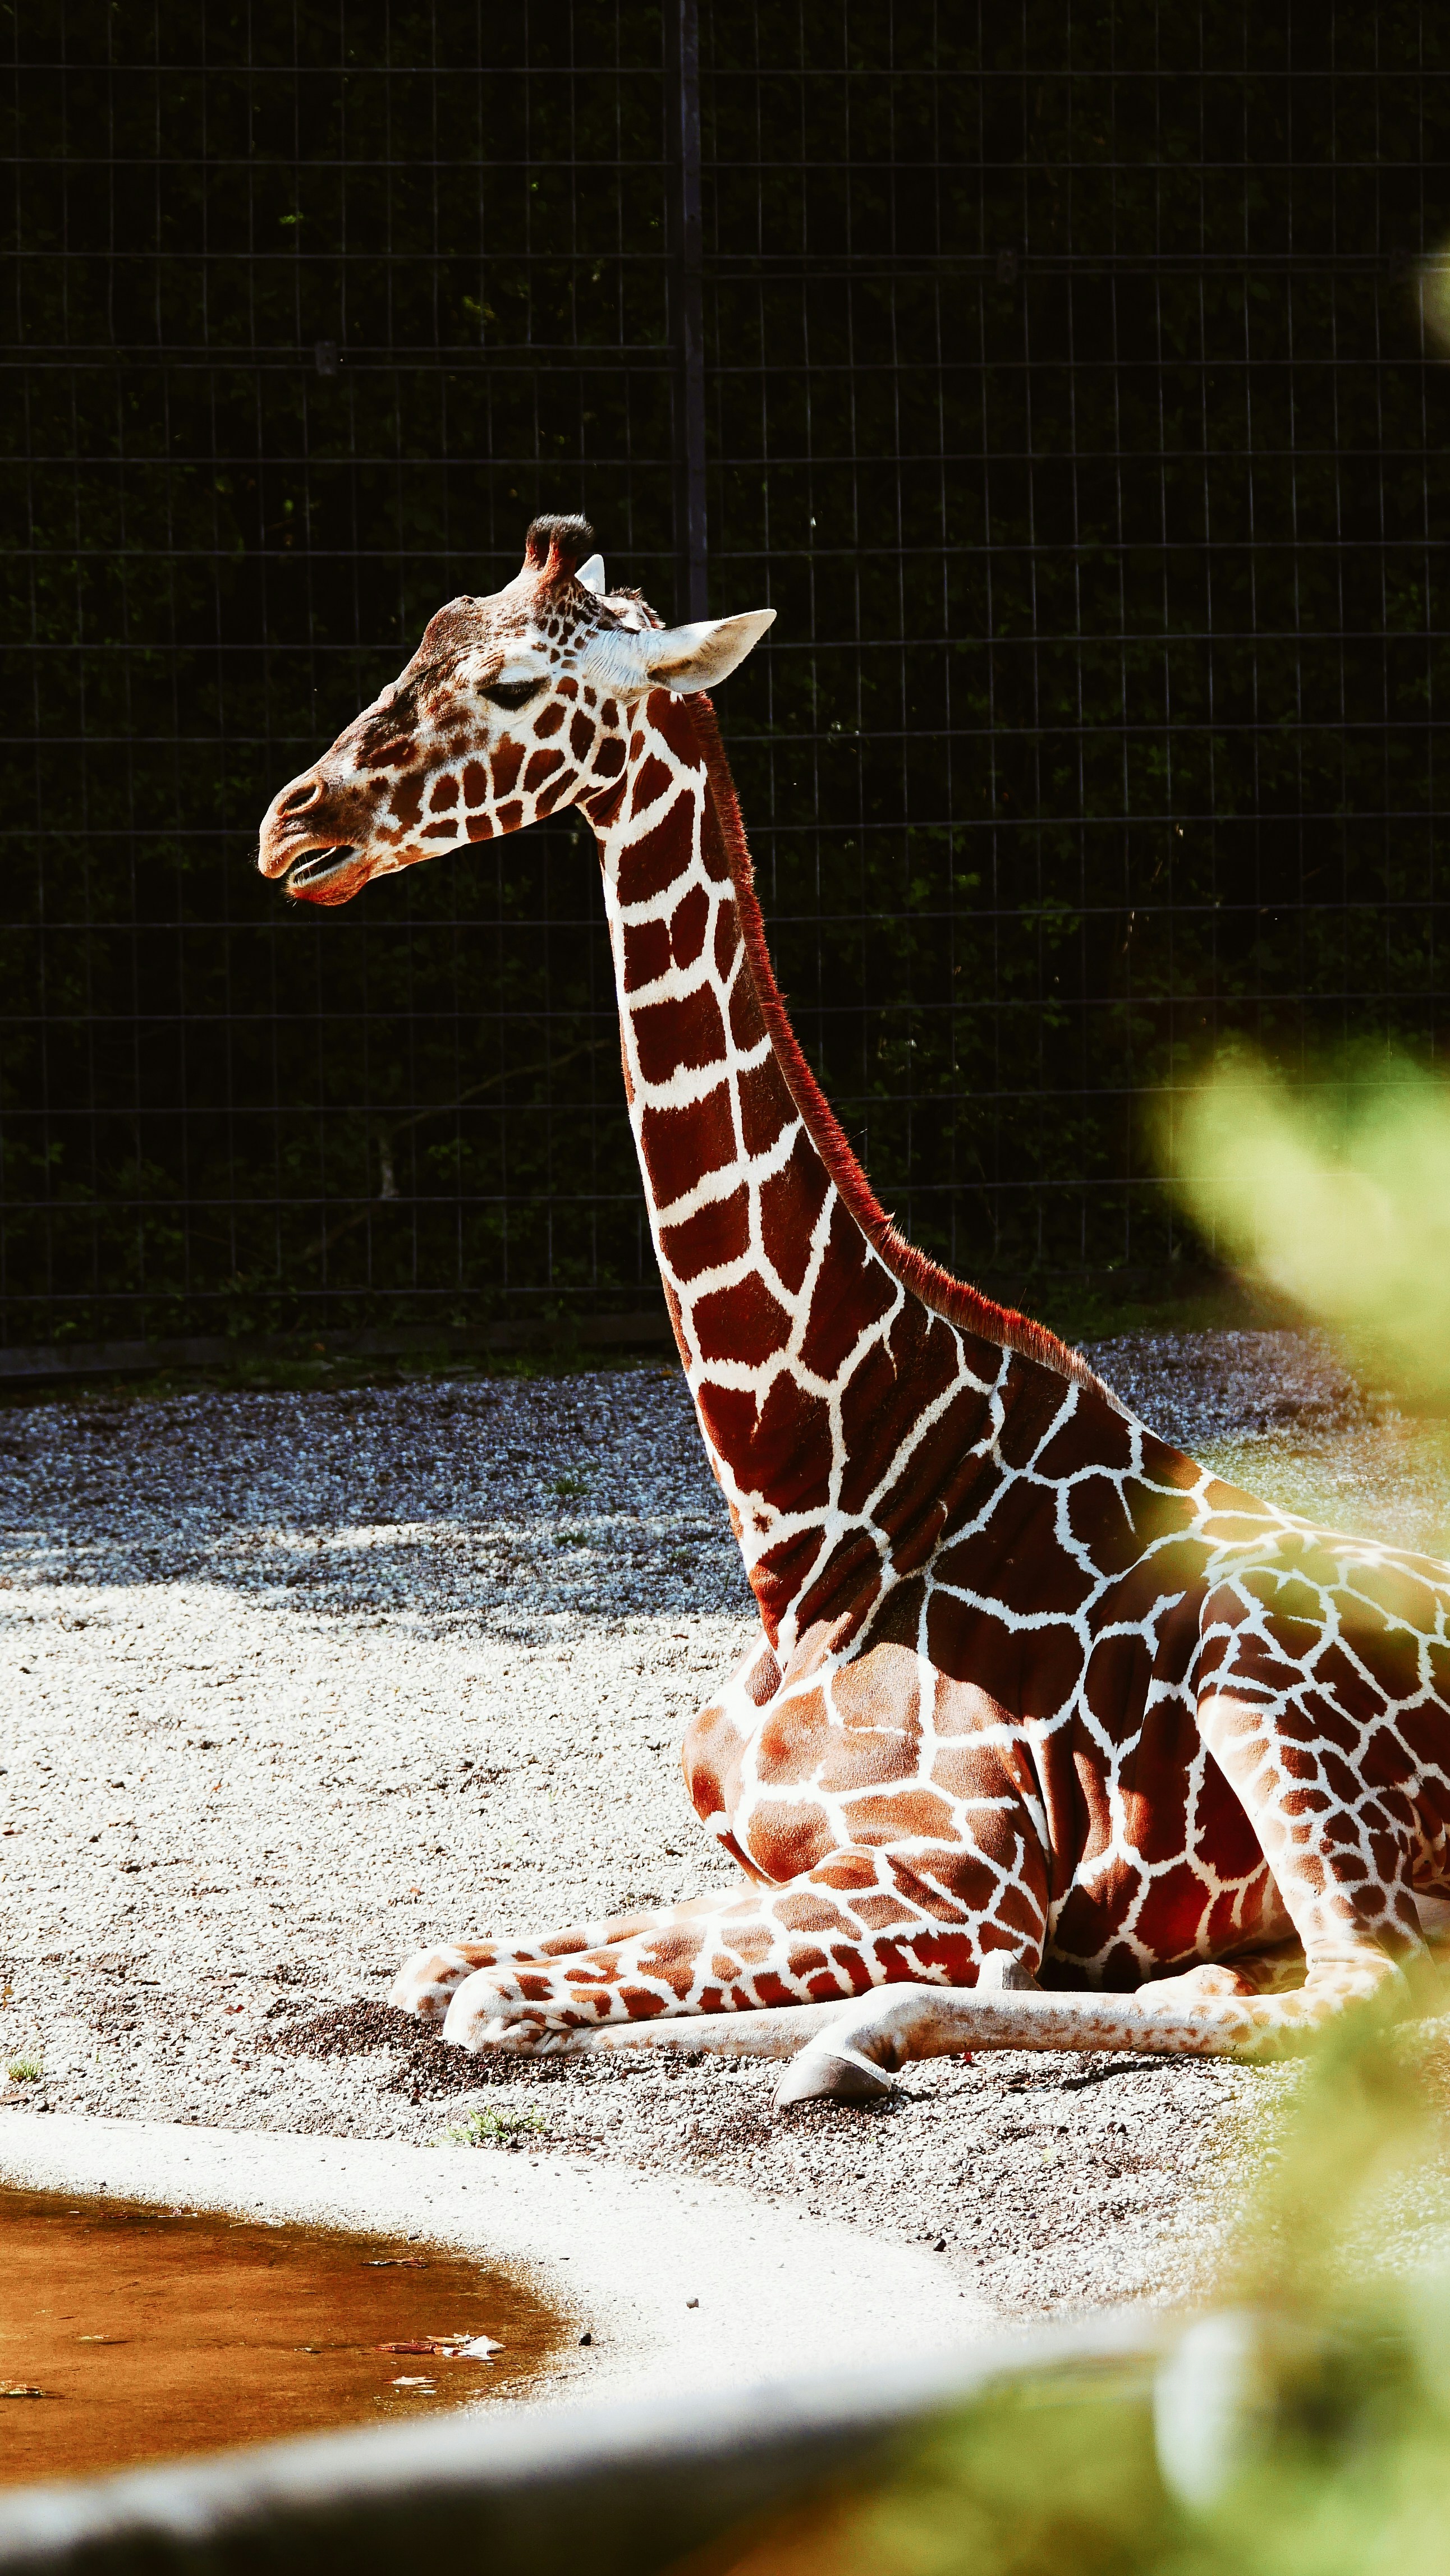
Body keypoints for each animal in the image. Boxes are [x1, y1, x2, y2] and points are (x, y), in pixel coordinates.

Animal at [258, 514, 1450, 2108]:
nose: (294, 827)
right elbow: (450, 1961)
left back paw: (859, 2036)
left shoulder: (949, 1873)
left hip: (1259, 1676)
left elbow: (498, 1996)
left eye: (511, 685)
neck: (815, 1510)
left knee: (1357, 1996)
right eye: (419, 646)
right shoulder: (783, 1859)